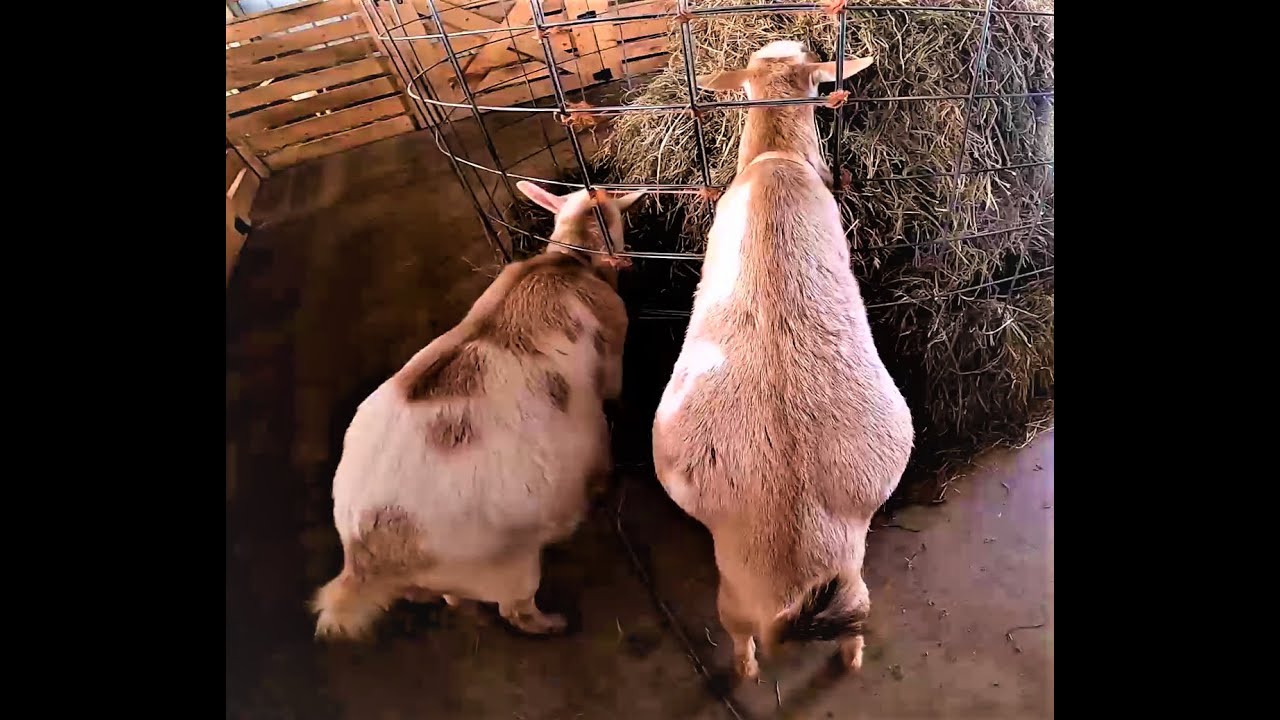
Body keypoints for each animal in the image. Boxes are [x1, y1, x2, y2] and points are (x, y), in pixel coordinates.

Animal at [313, 181, 643, 638]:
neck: (569, 259)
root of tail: (364, 557)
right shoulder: (613, 351)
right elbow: (614, 390)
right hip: (509, 566)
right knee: (516, 611)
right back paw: (556, 623)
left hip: (456, 575)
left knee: (455, 599)